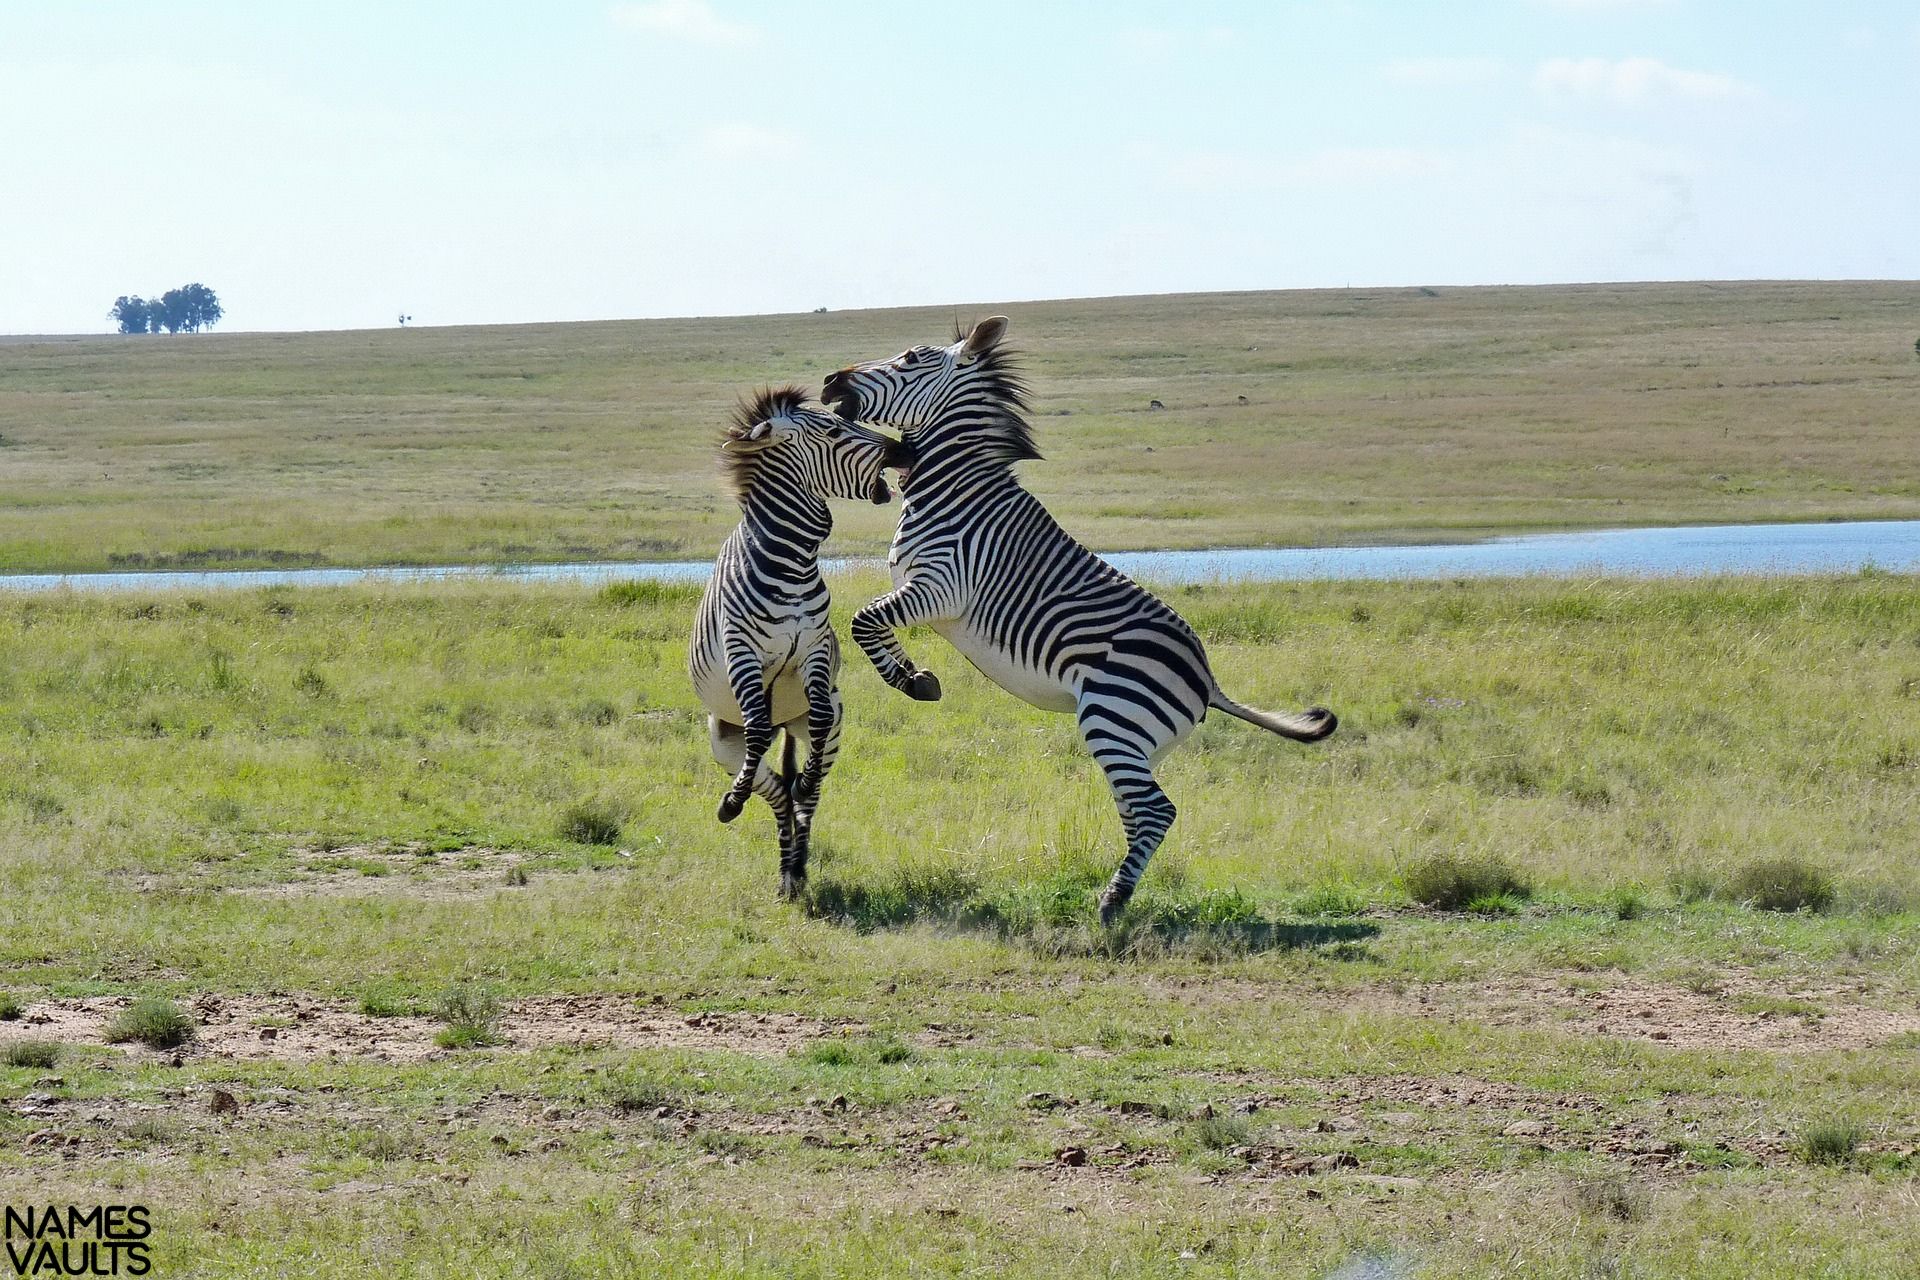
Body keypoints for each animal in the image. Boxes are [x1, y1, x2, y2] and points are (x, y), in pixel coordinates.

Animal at [688, 386, 896, 899]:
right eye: (834, 431)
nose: (902, 449)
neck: (793, 561)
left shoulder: (813, 652)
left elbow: (817, 718)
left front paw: (802, 783)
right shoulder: (743, 653)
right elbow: (757, 730)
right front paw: (731, 802)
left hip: (828, 724)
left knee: (806, 791)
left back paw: (797, 863)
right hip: (722, 740)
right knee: (774, 787)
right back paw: (783, 865)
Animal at [822, 318, 1336, 925]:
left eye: (909, 359)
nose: (829, 380)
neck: (955, 491)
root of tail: (1208, 680)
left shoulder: (942, 588)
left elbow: (864, 620)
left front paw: (914, 681)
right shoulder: (922, 592)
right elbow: (870, 622)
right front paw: (913, 673)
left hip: (1112, 721)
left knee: (1158, 812)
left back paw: (1112, 902)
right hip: (1135, 744)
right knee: (1139, 814)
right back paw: (1121, 892)